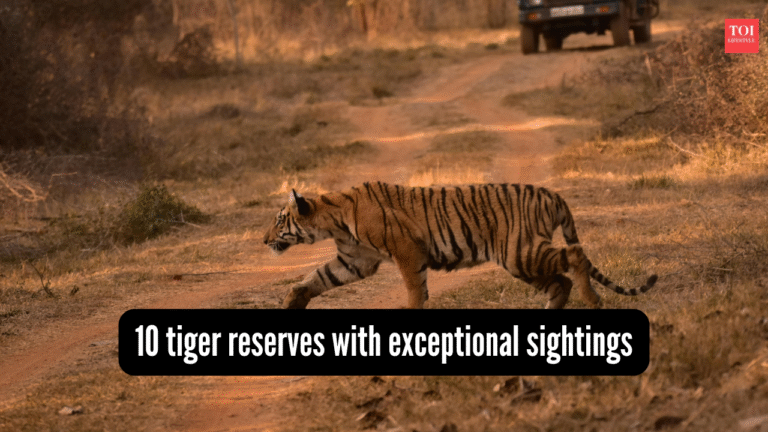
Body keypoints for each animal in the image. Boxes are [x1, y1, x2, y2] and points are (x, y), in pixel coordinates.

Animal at [262, 181, 657, 309]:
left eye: (280, 221)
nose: (263, 240)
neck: (332, 219)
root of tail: (551, 193)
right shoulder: (355, 261)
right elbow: (316, 278)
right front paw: (292, 303)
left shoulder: (407, 252)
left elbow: (414, 290)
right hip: (522, 260)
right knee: (560, 282)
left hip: (520, 252)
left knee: (574, 256)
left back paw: (594, 301)